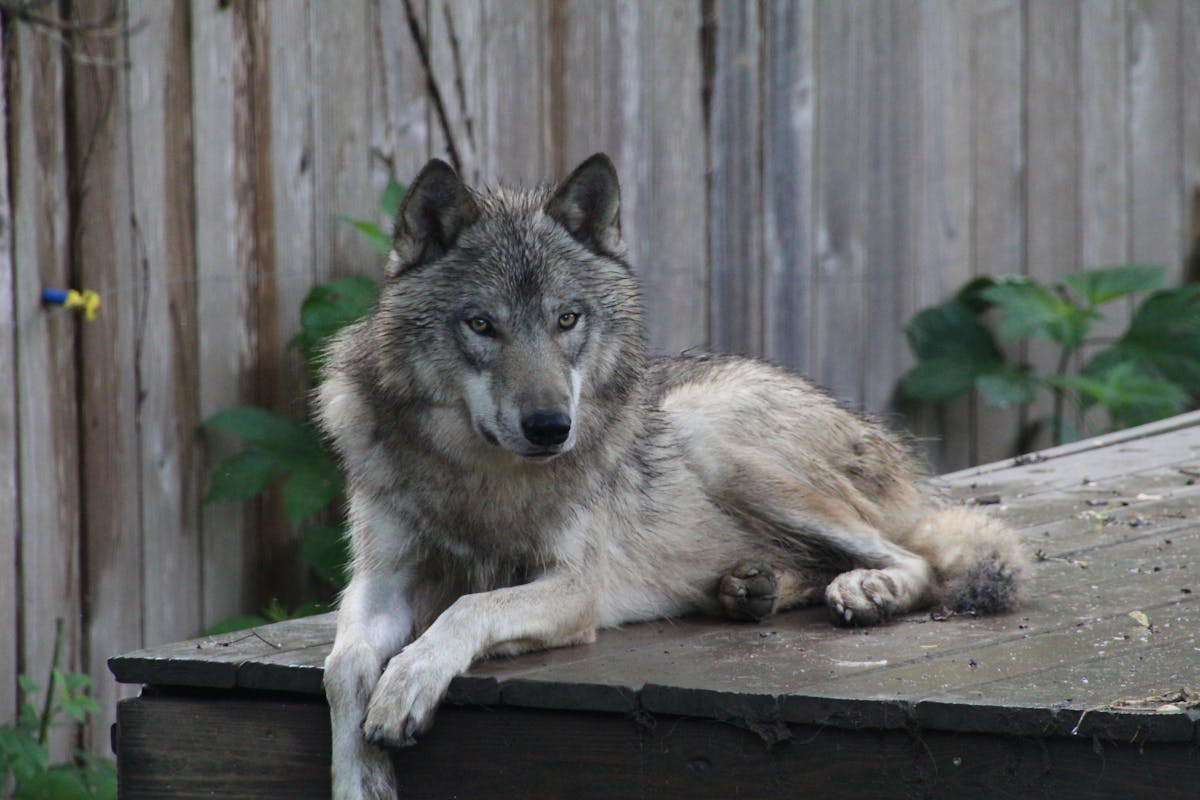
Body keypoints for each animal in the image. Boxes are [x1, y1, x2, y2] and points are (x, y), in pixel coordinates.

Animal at [318, 153, 1025, 798]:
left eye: (566, 319)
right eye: (481, 324)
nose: (551, 427)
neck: (480, 479)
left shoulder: (576, 588)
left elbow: (467, 607)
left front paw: (406, 684)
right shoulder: (380, 581)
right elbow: (342, 666)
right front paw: (361, 777)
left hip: (709, 437)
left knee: (914, 559)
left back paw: (865, 590)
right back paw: (752, 588)